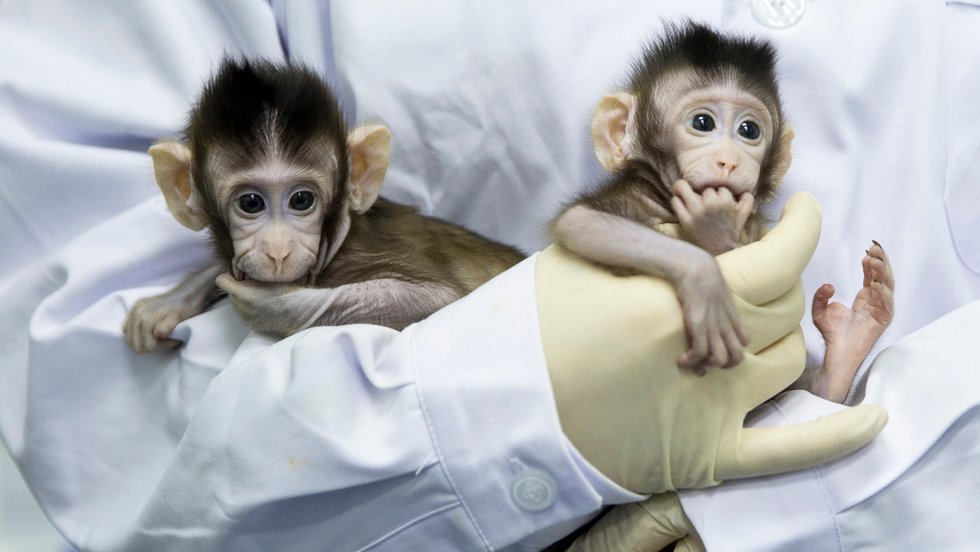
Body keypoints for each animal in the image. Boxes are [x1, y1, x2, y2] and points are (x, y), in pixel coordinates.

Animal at [123, 58, 524, 354]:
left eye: (302, 200)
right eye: (251, 203)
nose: (278, 250)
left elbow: (442, 300)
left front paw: (276, 304)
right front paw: (172, 299)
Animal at [551, 21, 894, 403]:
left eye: (749, 130)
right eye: (702, 123)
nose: (728, 160)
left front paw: (716, 229)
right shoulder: (632, 196)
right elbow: (582, 223)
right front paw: (705, 278)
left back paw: (851, 341)